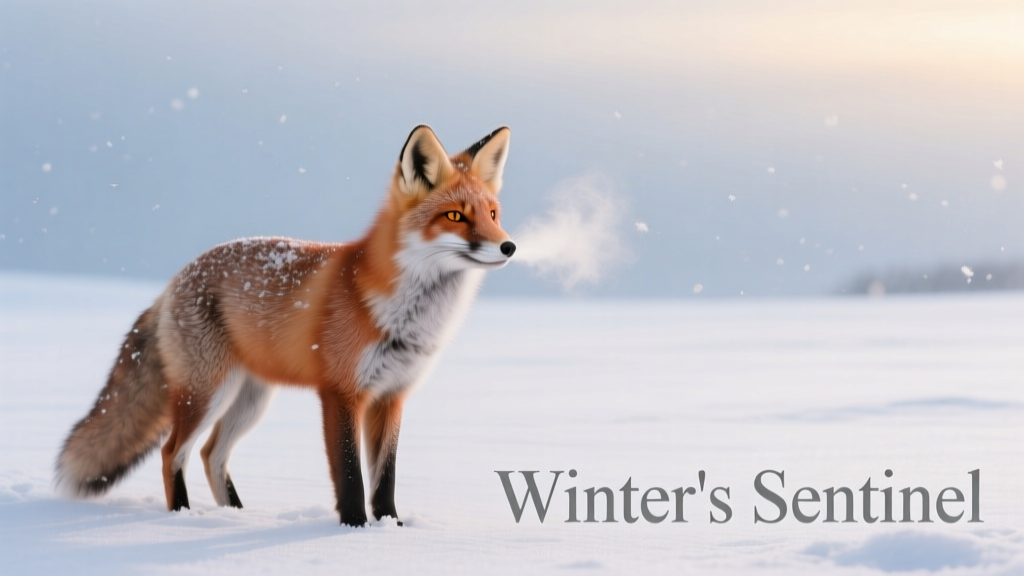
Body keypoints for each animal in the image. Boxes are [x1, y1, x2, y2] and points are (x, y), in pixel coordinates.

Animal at [55, 125, 516, 526]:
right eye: (455, 216)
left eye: (493, 214)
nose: (509, 246)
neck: (406, 318)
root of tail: (172, 282)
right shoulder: (341, 393)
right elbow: (350, 476)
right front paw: (354, 530)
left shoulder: (392, 396)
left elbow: (385, 479)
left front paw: (390, 527)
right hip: (207, 392)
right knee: (173, 452)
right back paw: (182, 516)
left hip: (251, 400)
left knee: (211, 453)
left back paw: (235, 516)